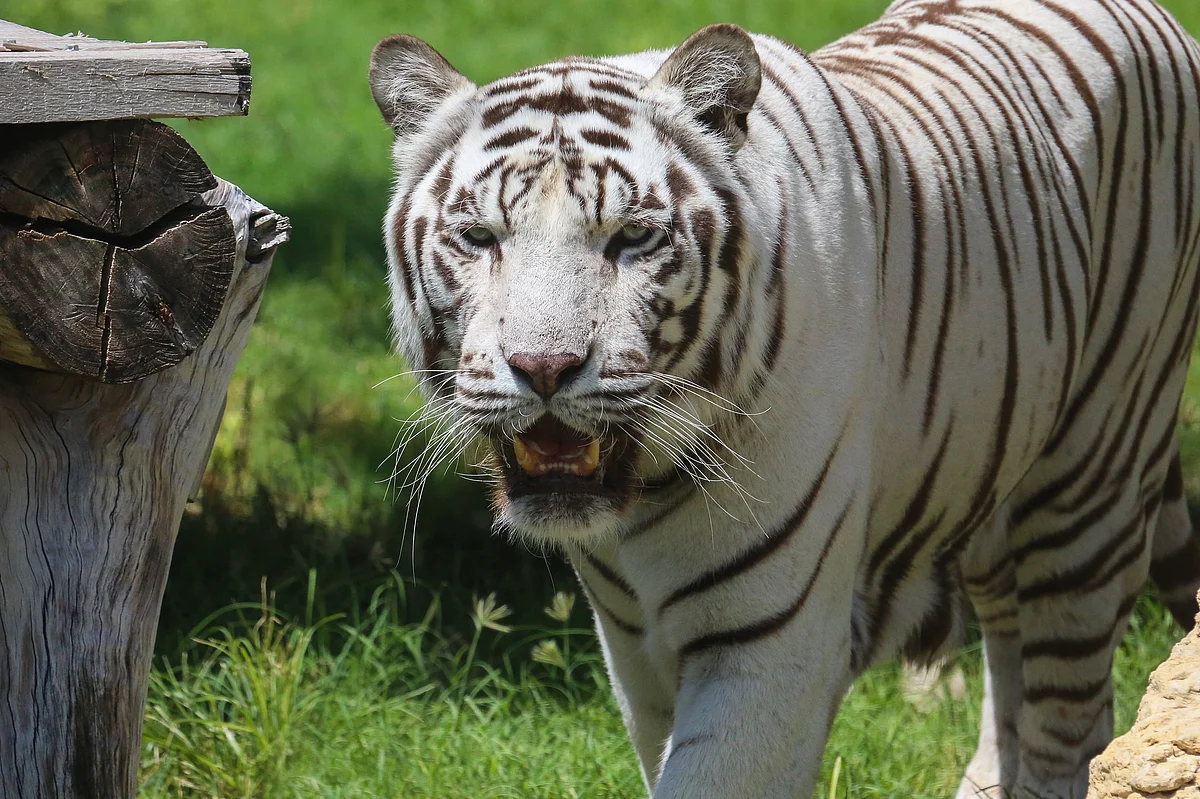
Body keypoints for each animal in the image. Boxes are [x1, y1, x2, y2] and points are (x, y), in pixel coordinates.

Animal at [367, 0, 1200, 795]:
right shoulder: (633, 648)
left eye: (634, 238)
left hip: (1089, 488)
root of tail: (1157, 16)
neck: (644, 501)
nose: (544, 367)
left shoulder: (769, 641)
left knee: (1073, 714)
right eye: (479, 237)